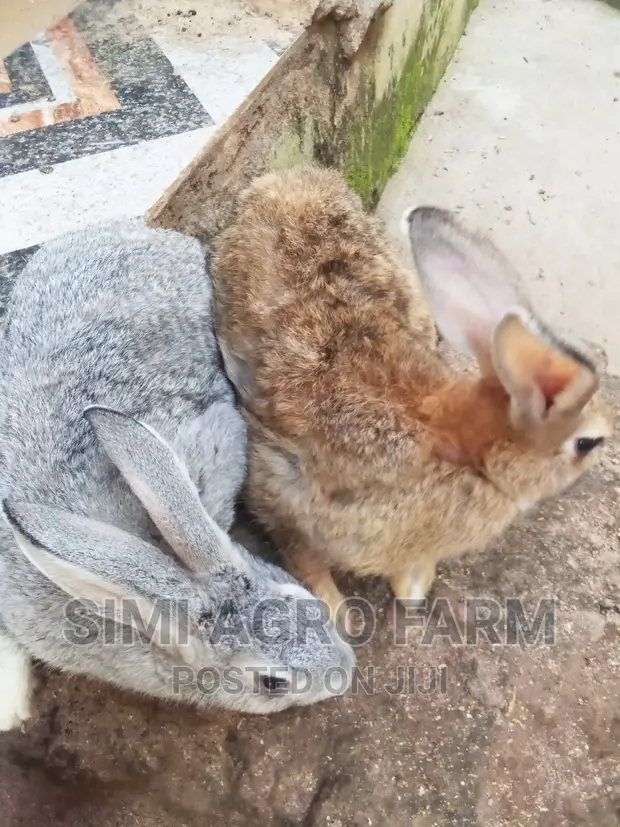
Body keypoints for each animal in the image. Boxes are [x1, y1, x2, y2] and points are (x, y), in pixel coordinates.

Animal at [211, 165, 612, 623]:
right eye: (587, 442)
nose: (606, 444)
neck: (472, 456)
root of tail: (293, 180)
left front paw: (412, 587)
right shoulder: (286, 496)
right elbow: (304, 561)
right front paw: (340, 617)